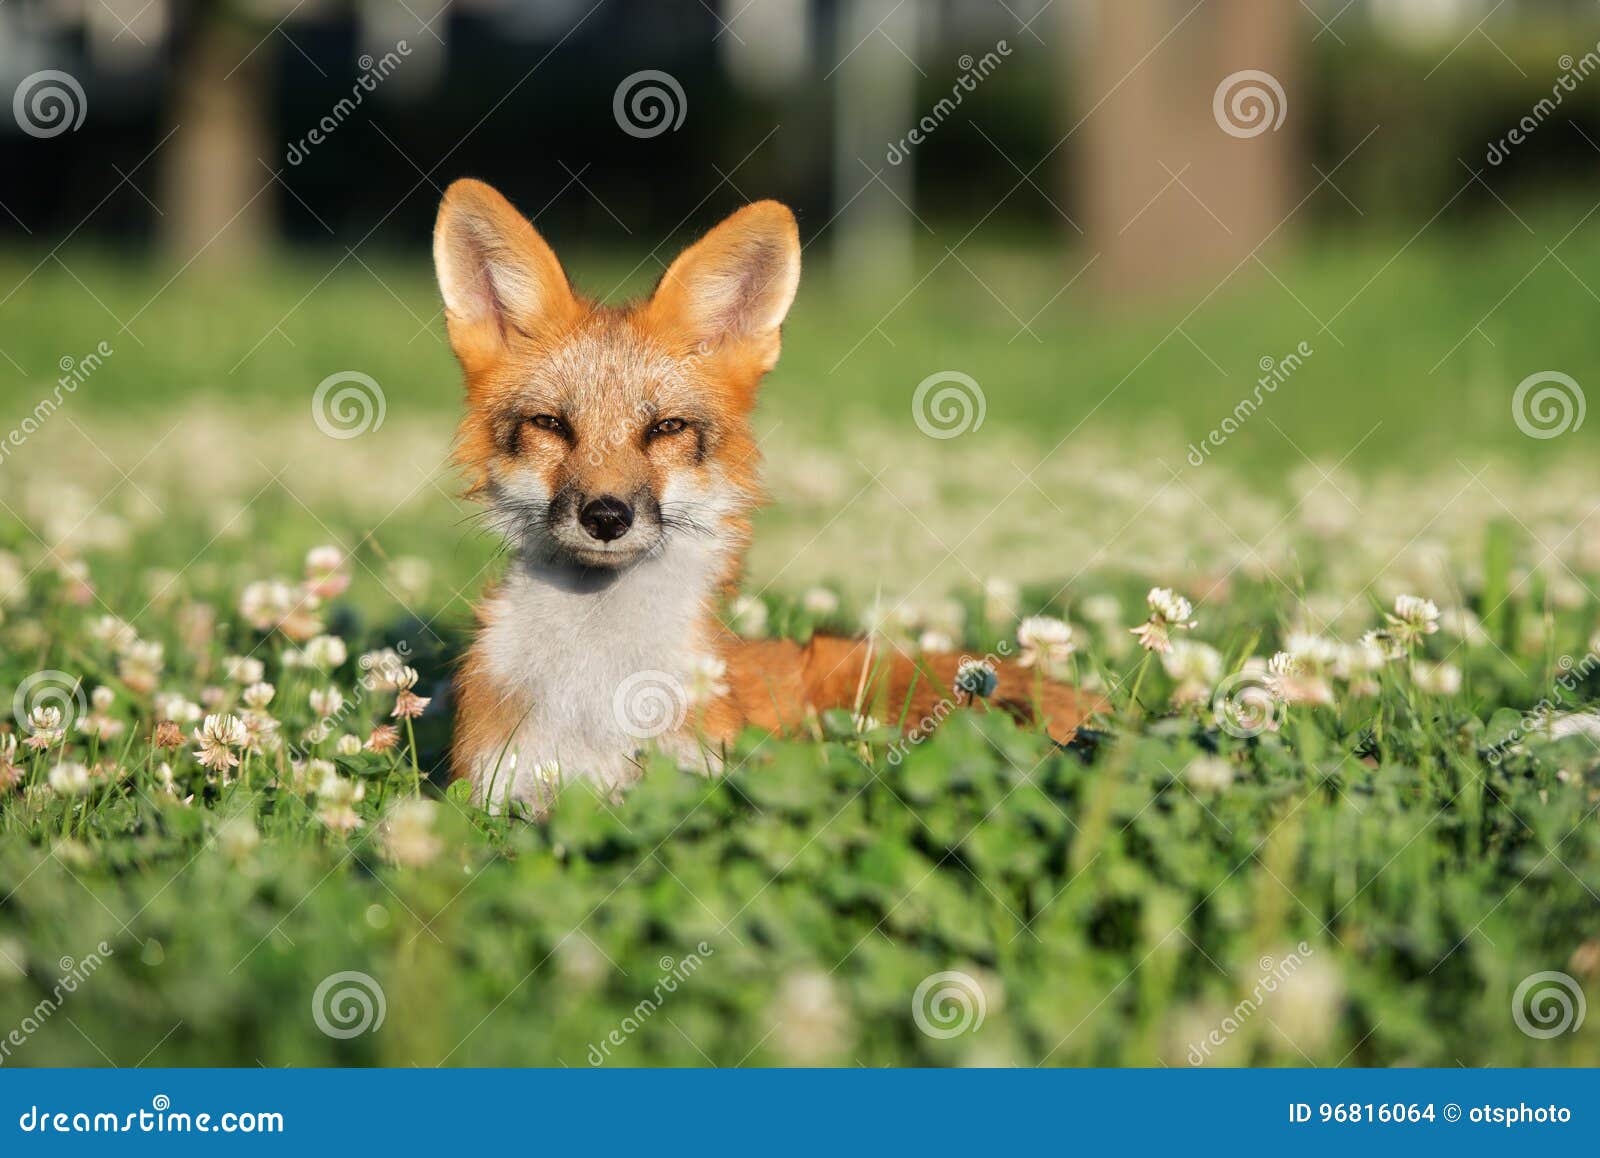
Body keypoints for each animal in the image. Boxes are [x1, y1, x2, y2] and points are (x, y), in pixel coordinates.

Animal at [433, 178, 1099, 810]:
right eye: (550, 425)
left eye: (666, 428)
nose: (605, 516)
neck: (597, 706)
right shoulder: (502, 793)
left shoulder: (704, 776)